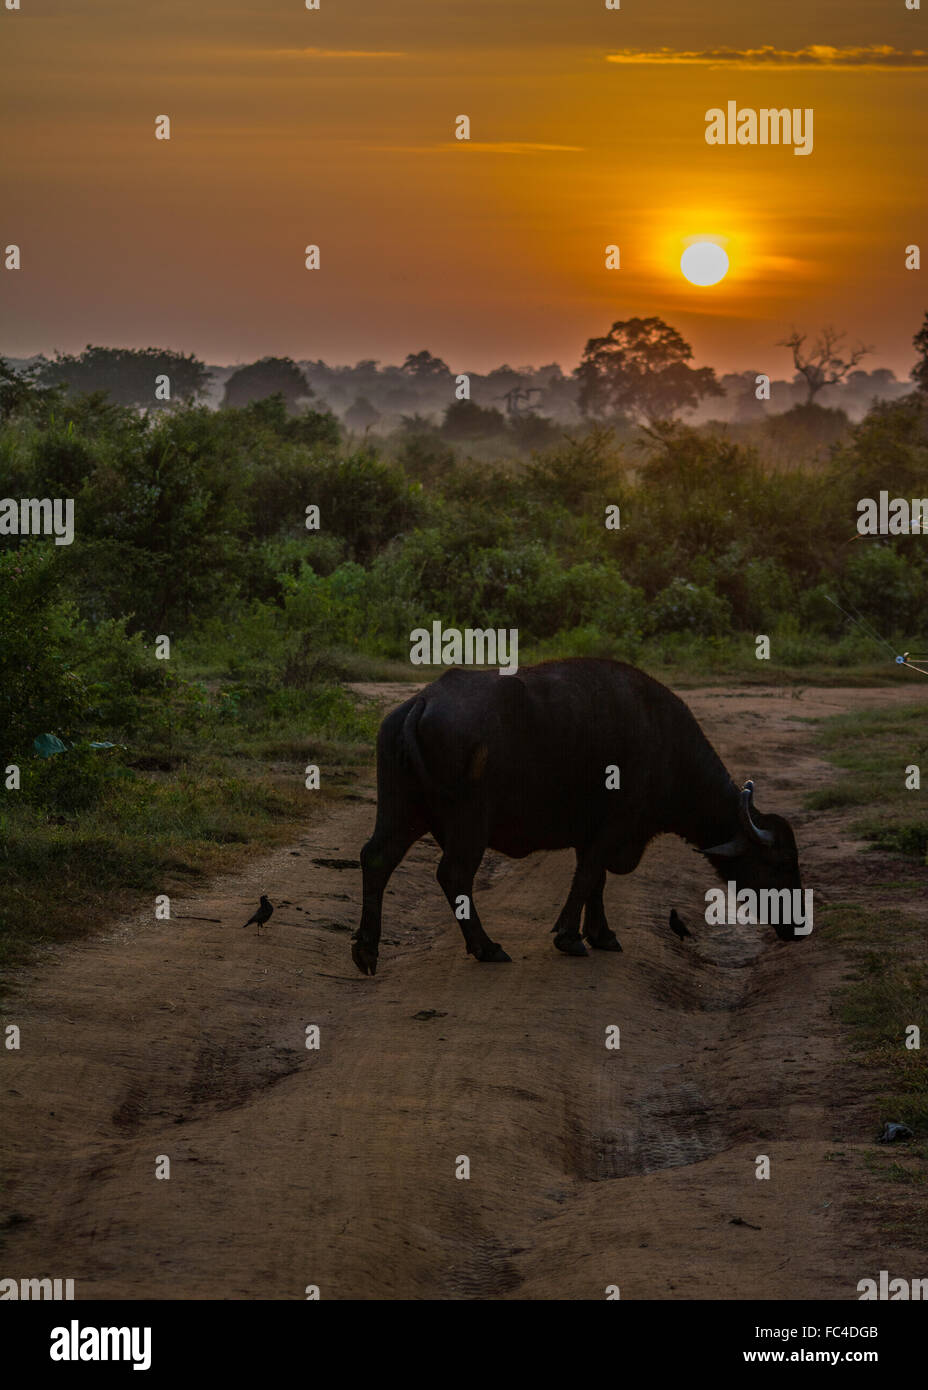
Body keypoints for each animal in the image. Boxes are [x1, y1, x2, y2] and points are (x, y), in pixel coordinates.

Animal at [351, 658, 803, 975]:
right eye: (779, 863)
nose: (798, 926)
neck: (665, 747)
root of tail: (423, 701)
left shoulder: (593, 832)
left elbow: (596, 880)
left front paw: (600, 933)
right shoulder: (615, 825)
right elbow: (587, 876)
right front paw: (570, 936)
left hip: (403, 810)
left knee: (376, 858)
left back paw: (365, 950)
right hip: (470, 820)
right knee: (453, 874)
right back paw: (487, 947)